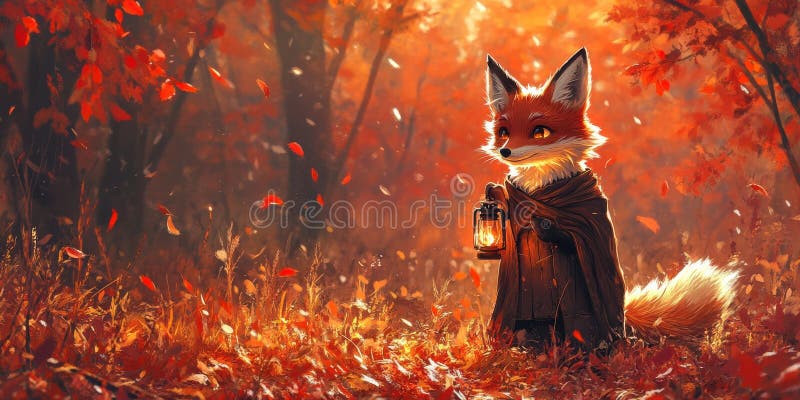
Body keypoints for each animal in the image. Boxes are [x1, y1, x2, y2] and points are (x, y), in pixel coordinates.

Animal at [480, 47, 739, 348]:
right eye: (504, 132)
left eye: (539, 132)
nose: (506, 151)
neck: (541, 187)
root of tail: (626, 327)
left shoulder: (592, 215)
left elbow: (570, 236)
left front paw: (546, 226)